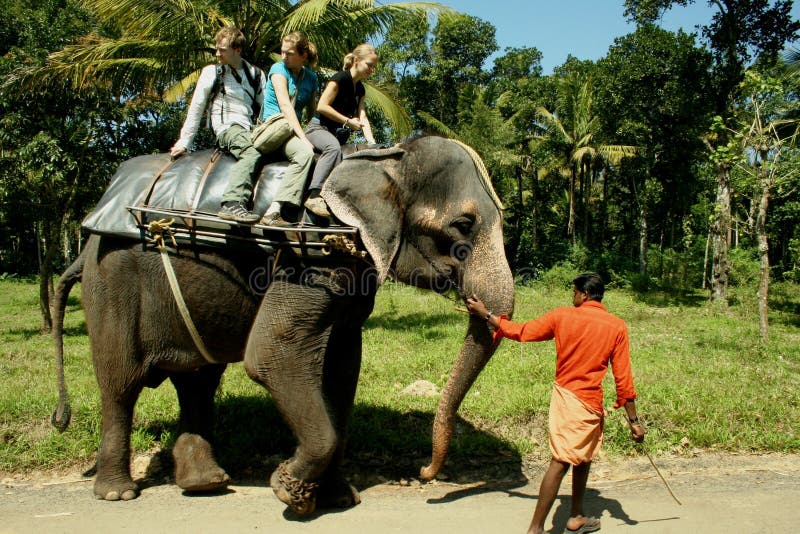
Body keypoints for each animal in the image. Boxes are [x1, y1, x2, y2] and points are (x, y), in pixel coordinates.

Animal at [52, 135, 515, 514]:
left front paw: (338, 498)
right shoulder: (307, 253)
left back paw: (206, 484)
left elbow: (343, 367)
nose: (424, 473)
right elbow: (273, 353)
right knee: (121, 384)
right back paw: (119, 493)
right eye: (463, 225)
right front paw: (289, 492)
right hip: (112, 280)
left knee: (198, 381)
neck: (385, 157)